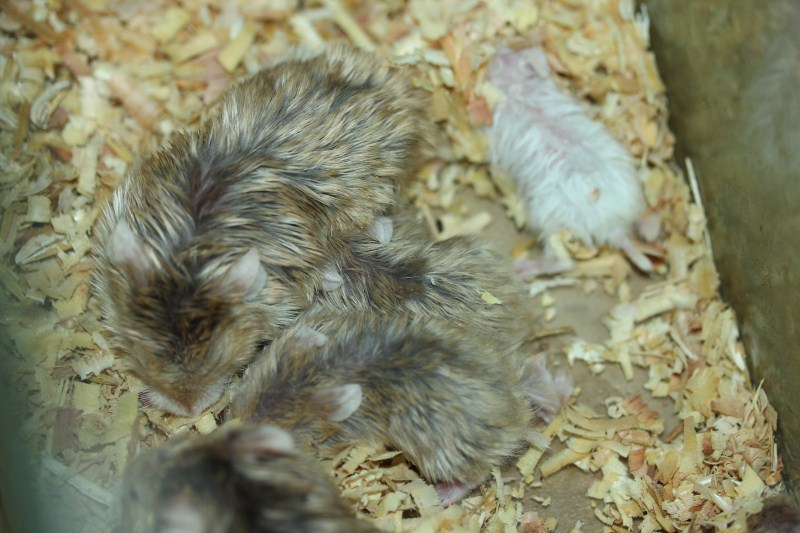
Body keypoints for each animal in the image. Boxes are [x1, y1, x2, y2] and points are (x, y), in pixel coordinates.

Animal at [230, 310, 566, 506]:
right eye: (243, 389)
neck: (321, 373)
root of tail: (519, 417)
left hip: (444, 456)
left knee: (473, 476)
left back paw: (439, 497)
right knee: (531, 374)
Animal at [488, 46, 653, 274]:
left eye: (502, 59)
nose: (498, 49)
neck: (521, 90)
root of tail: (614, 228)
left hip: (551, 223)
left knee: (563, 262)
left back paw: (524, 268)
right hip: (632, 194)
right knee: (644, 214)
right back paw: (650, 229)